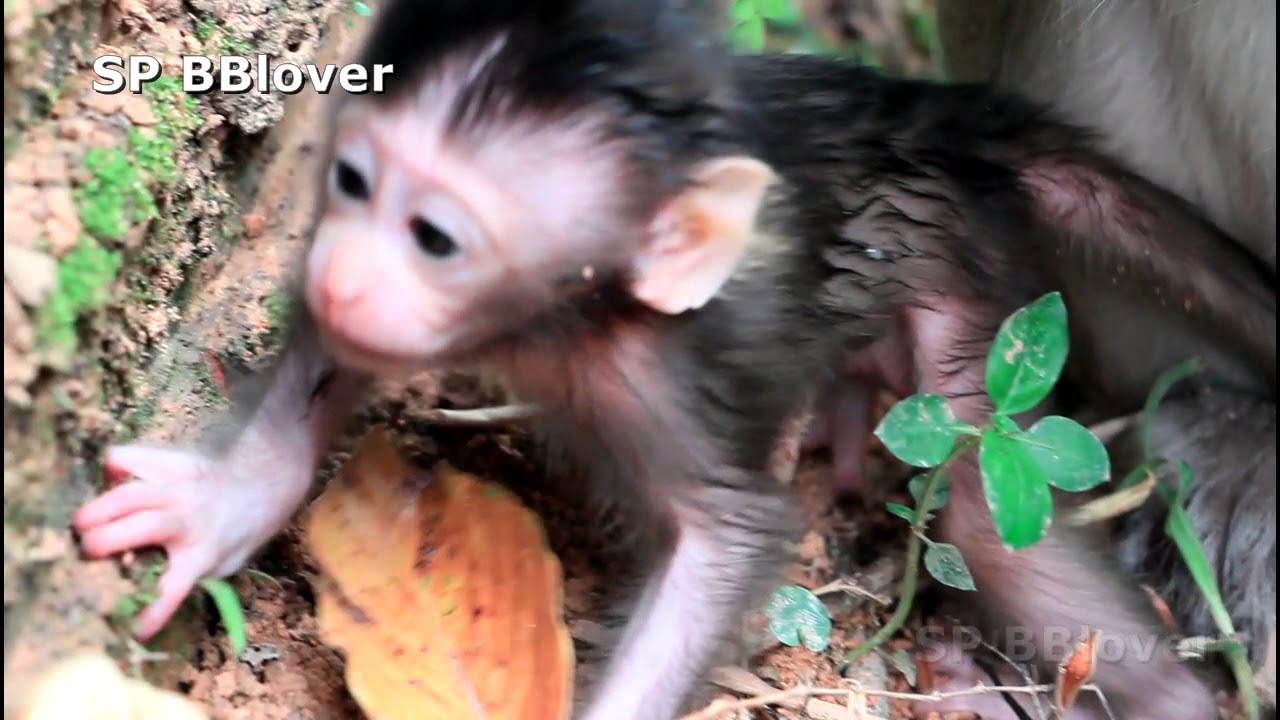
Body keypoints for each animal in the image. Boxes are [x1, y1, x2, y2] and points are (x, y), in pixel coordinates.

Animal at [70, 1, 1274, 718]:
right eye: (352, 185)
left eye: (436, 237)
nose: (339, 270)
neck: (564, 314)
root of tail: (937, 115)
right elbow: (338, 355)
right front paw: (222, 504)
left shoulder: (661, 377)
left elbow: (725, 537)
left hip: (963, 265)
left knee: (981, 507)